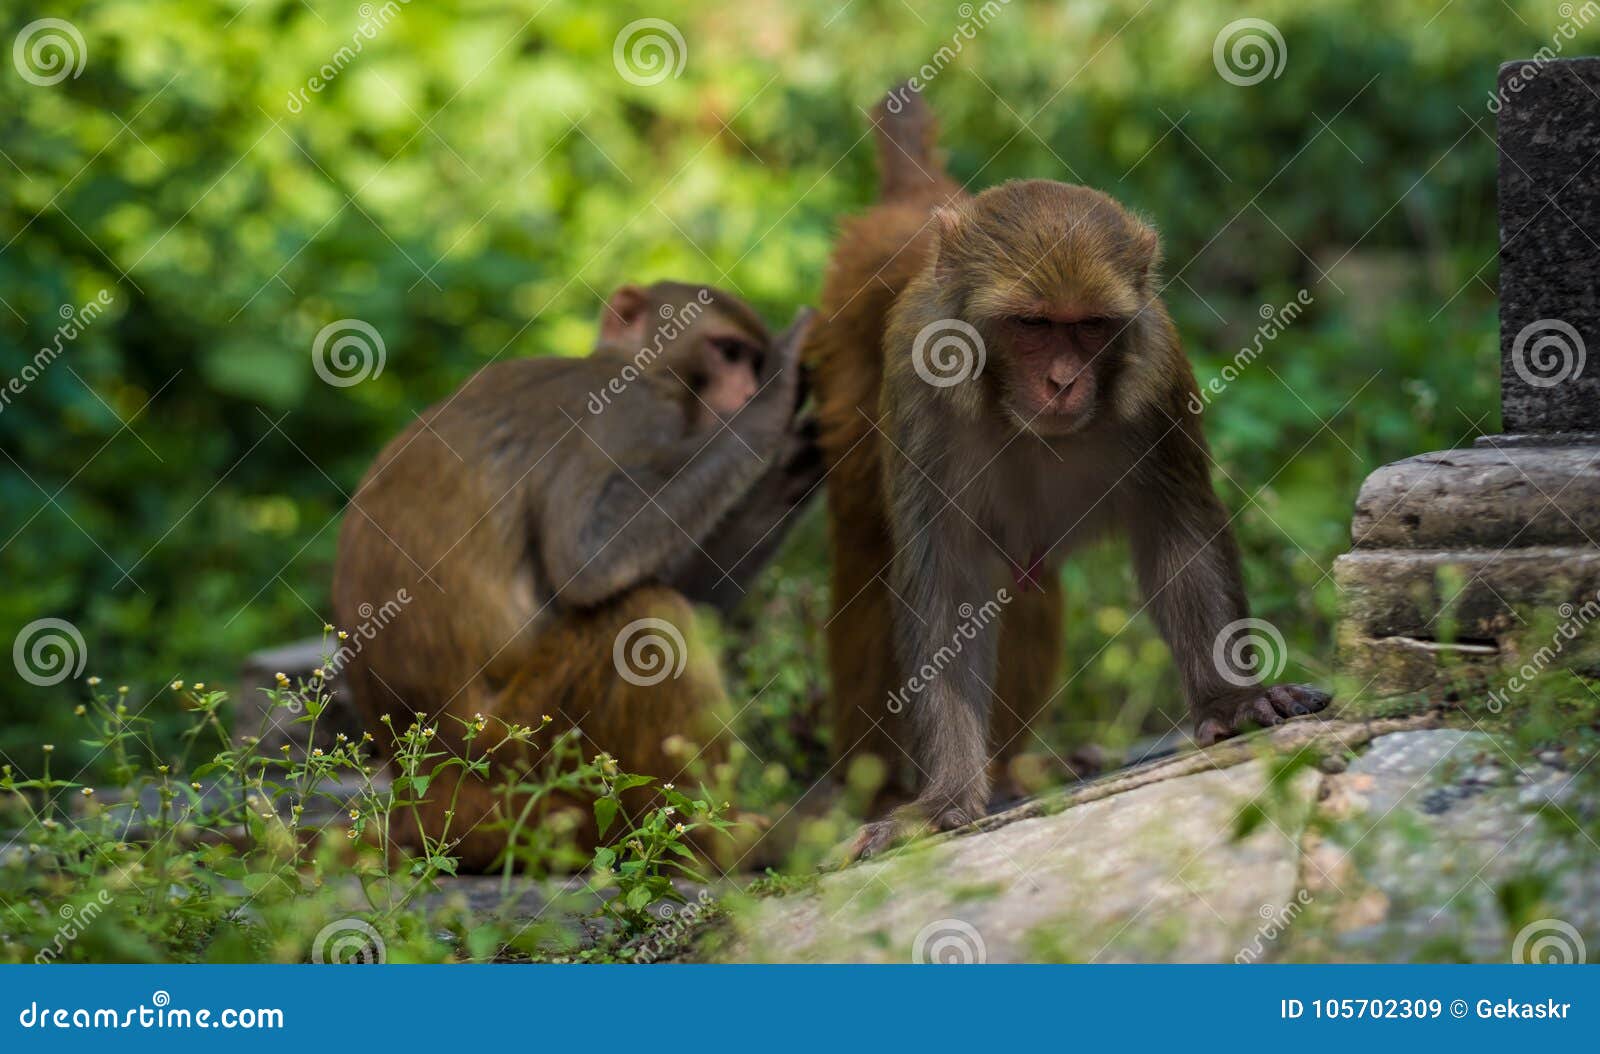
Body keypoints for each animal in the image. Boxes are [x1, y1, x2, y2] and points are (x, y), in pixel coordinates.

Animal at [331, 281, 820, 871]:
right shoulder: (633, 411)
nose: (747, 388)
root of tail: (417, 791)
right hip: (517, 745)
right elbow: (590, 557)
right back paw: (713, 841)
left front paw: (795, 463)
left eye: (749, 357)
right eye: (728, 351)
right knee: (648, 618)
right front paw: (777, 397)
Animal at [806, 86, 1330, 860]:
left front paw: (1230, 699)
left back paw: (1011, 768)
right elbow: (947, 580)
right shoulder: (919, 386)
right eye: (1032, 324)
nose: (1062, 382)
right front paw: (944, 797)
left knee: (1026, 577)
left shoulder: (1156, 372)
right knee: (869, 552)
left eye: (1088, 326)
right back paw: (881, 785)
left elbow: (1177, 534)